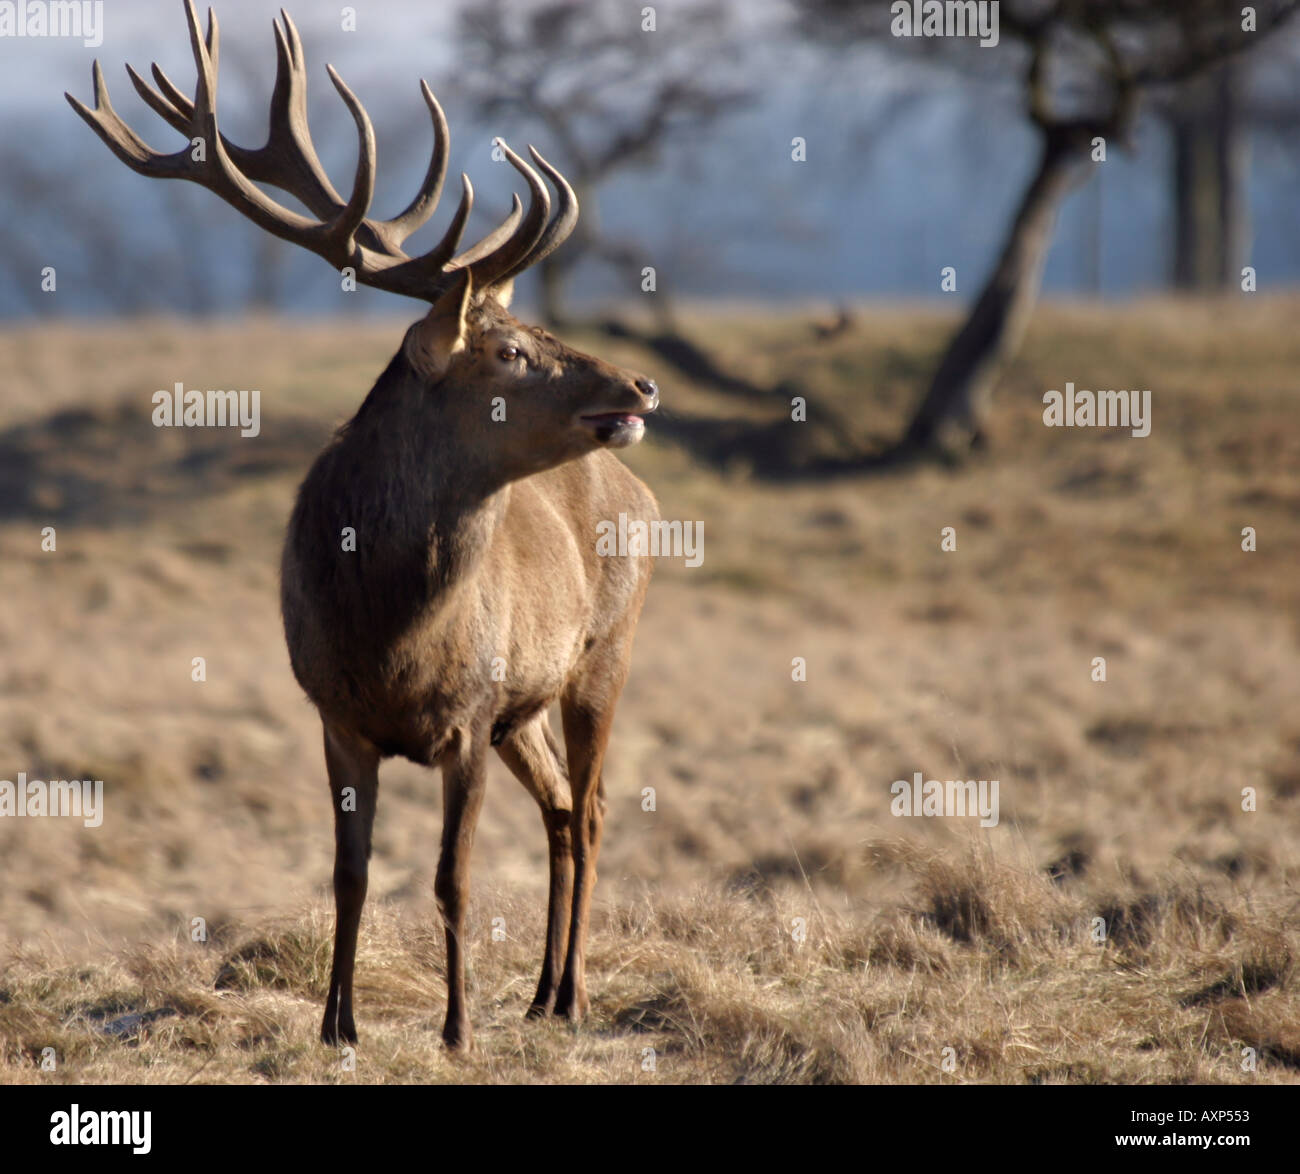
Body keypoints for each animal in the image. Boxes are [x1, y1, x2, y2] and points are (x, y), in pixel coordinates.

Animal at [68, 0, 660, 1051]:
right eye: (511, 351)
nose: (639, 386)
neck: (389, 629)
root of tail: (646, 495)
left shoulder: (467, 712)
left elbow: (452, 880)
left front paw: (456, 1030)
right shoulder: (336, 713)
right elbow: (349, 875)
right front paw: (336, 1025)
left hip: (604, 652)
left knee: (590, 810)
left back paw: (575, 997)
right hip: (526, 705)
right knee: (560, 807)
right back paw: (541, 995)